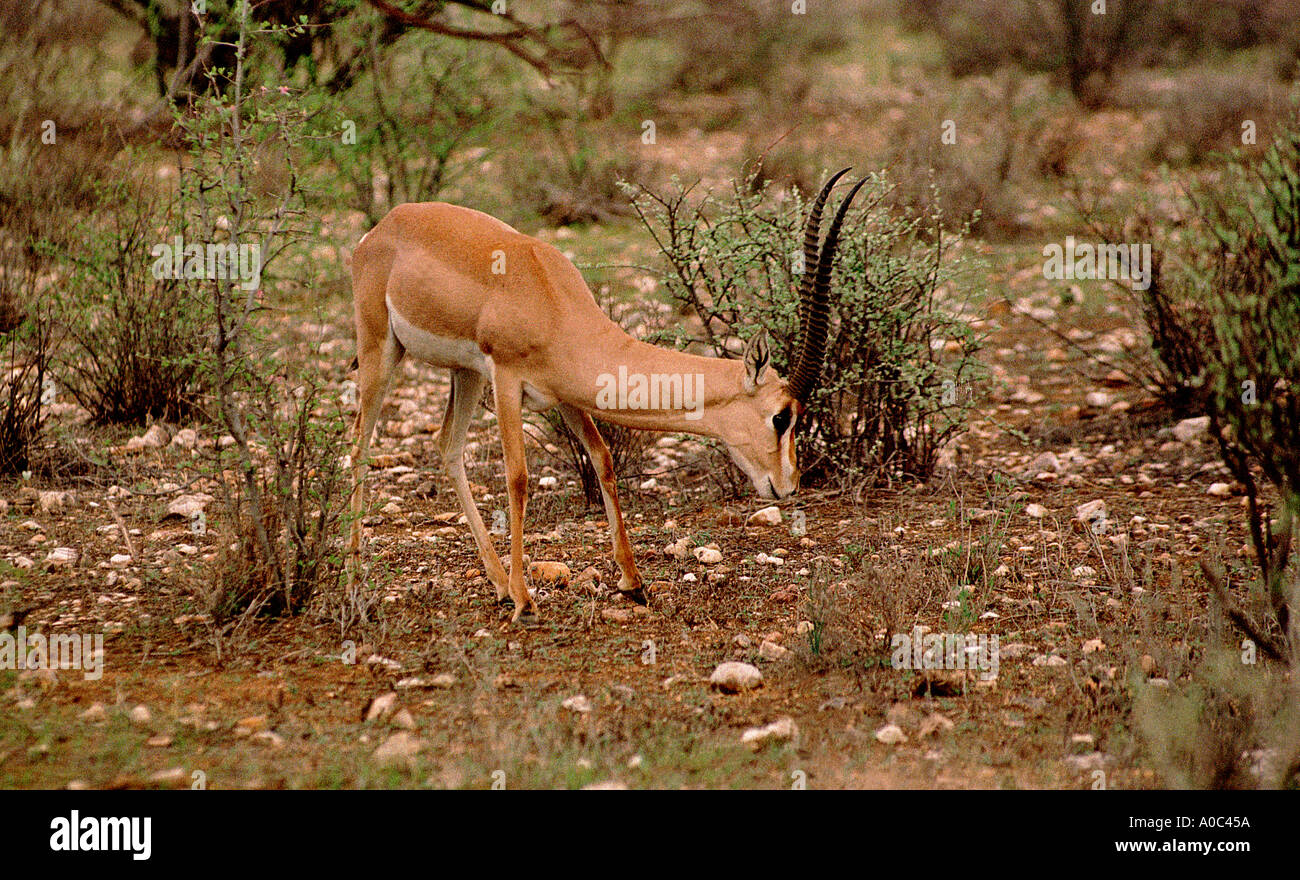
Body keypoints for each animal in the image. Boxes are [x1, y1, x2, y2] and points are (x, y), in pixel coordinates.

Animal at [347, 169, 867, 624]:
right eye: (781, 417)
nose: (789, 485)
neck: (553, 302)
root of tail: (383, 227)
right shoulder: (508, 381)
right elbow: (518, 478)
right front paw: (526, 603)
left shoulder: (566, 396)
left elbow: (603, 459)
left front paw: (633, 583)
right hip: (382, 351)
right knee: (359, 445)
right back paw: (358, 573)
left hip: (465, 375)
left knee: (447, 447)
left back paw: (495, 583)